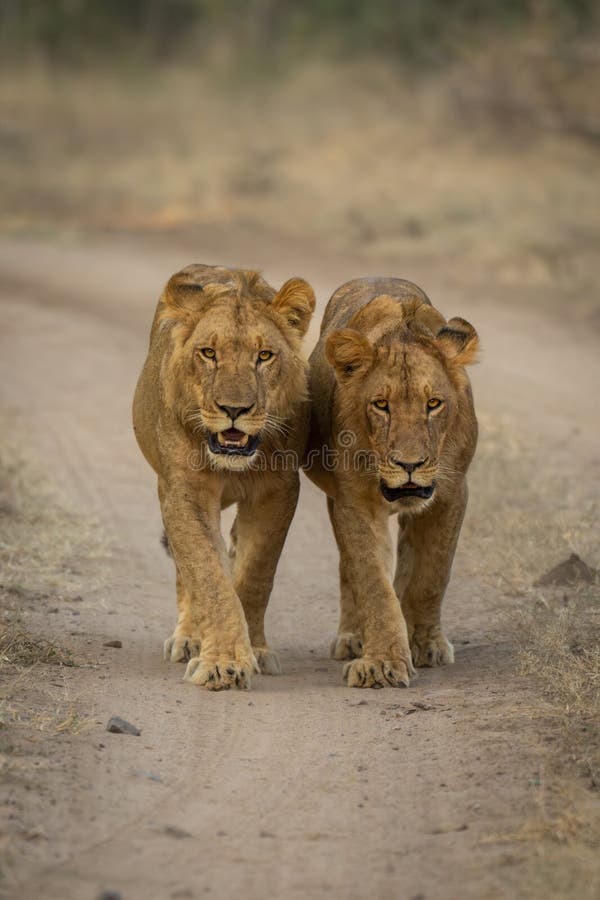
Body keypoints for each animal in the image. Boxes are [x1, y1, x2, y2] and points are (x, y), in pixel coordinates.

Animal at [133, 264, 315, 690]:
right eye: (208, 353)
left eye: (264, 356)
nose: (234, 409)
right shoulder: (184, 490)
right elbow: (208, 576)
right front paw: (224, 662)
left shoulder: (278, 491)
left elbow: (255, 573)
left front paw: (255, 651)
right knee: (187, 572)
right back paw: (188, 639)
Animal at [304, 277, 479, 688]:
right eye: (381, 405)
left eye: (434, 403)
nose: (409, 465)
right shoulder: (354, 501)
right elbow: (371, 582)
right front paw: (382, 661)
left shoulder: (451, 494)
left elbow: (432, 573)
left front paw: (425, 643)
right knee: (348, 569)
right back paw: (353, 638)